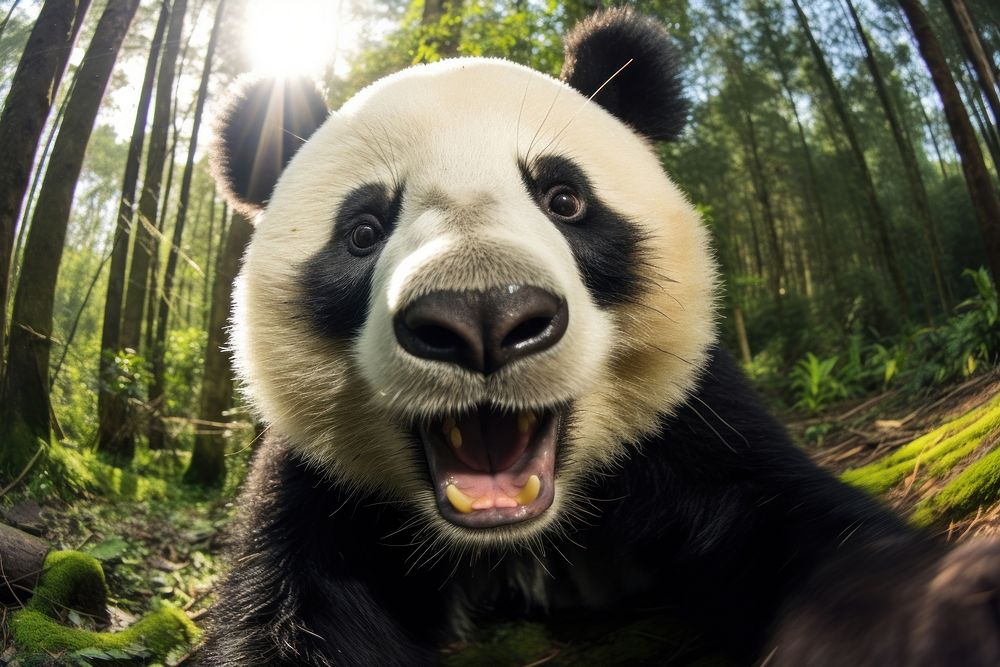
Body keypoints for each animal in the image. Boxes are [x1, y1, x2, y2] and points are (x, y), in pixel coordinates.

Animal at [198, 9, 1000, 666]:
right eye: (363, 230)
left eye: (564, 198)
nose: (482, 318)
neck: (513, 538)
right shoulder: (316, 487)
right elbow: (287, 610)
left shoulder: (694, 416)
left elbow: (803, 525)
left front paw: (943, 616)